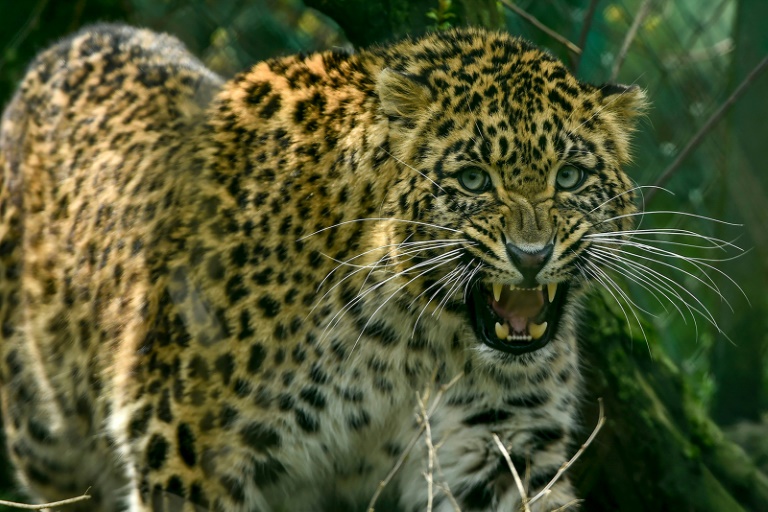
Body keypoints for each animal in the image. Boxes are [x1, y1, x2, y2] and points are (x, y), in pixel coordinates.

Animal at [0, 23, 645, 512]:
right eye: (472, 180)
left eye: (570, 177)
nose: (531, 256)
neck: (418, 339)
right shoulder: (185, 446)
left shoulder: (498, 447)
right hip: (43, 436)